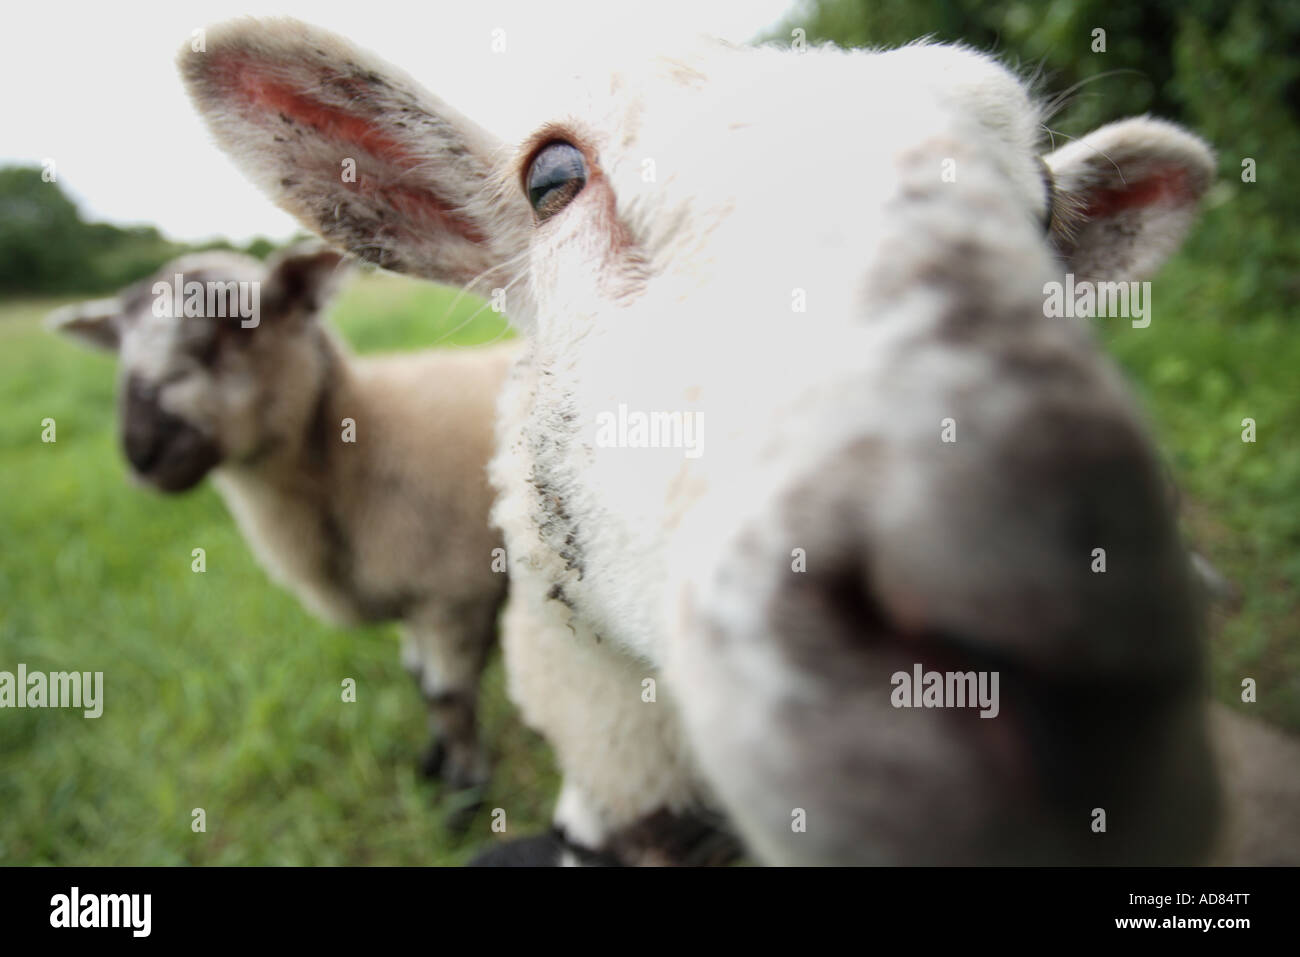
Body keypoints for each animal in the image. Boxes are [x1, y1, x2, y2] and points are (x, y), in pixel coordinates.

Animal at [47, 245, 519, 793]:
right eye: (120, 345)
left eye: (238, 324)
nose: (141, 449)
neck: (365, 441)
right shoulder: (416, 594)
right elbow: (420, 681)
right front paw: (434, 761)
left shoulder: (454, 595)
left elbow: (448, 697)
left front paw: (464, 787)